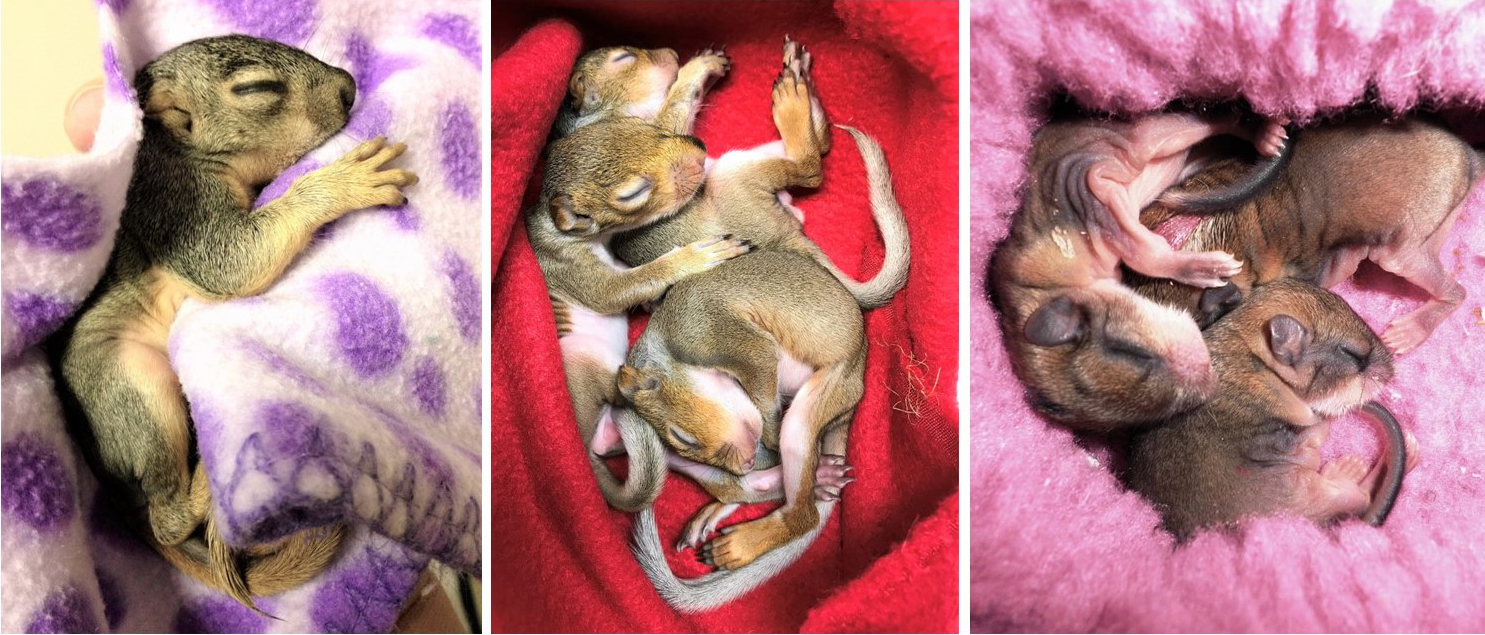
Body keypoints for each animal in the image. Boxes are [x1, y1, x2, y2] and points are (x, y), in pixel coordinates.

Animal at [51, 35, 416, 613]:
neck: (175, 148)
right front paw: (345, 182)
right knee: (168, 517)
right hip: (131, 386)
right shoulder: (175, 204)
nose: (349, 86)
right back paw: (207, 482)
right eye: (255, 88)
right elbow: (230, 260)